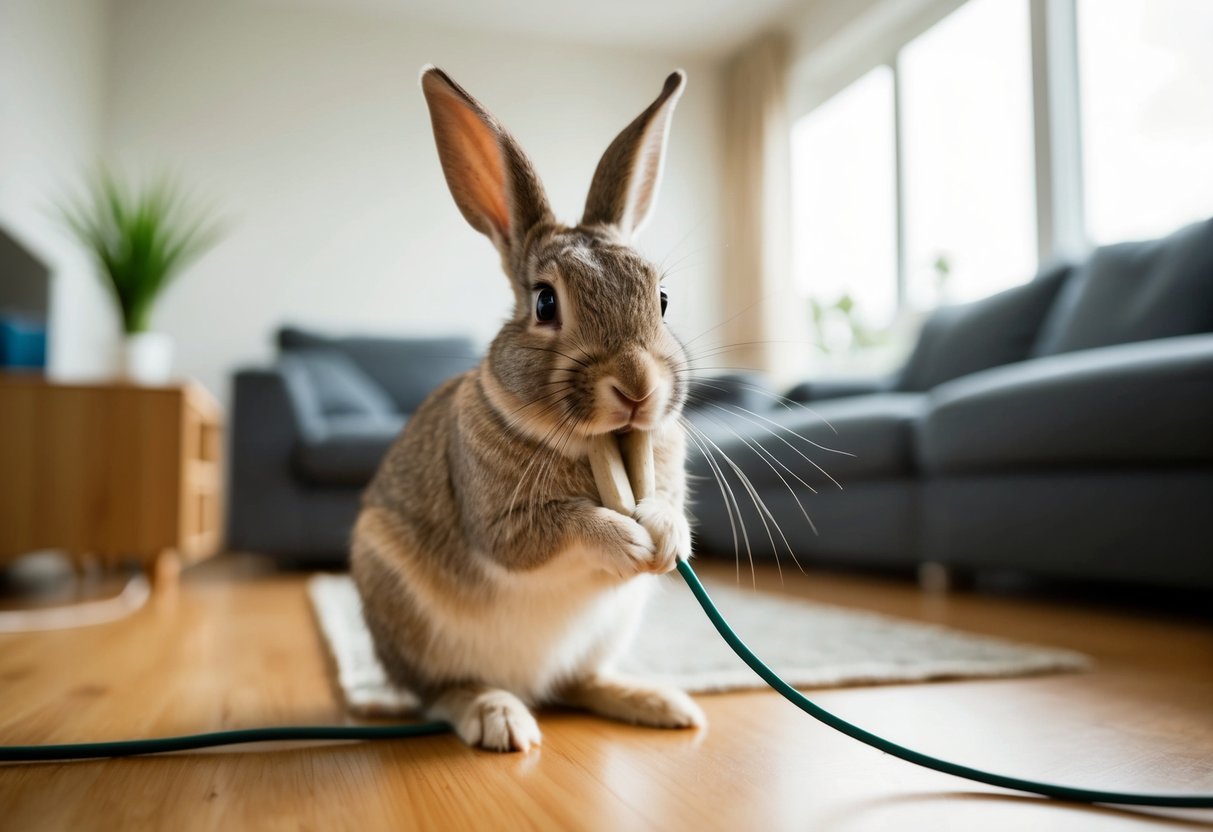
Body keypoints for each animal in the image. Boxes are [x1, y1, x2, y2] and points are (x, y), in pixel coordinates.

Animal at [350, 65, 704, 752]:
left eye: (663, 299)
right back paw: (499, 717)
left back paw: (661, 703)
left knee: (578, 683)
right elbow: (552, 528)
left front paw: (664, 537)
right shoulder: (501, 519)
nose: (638, 386)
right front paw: (625, 539)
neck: (596, 445)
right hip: (405, 613)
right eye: (545, 303)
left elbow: (669, 506)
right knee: (441, 692)